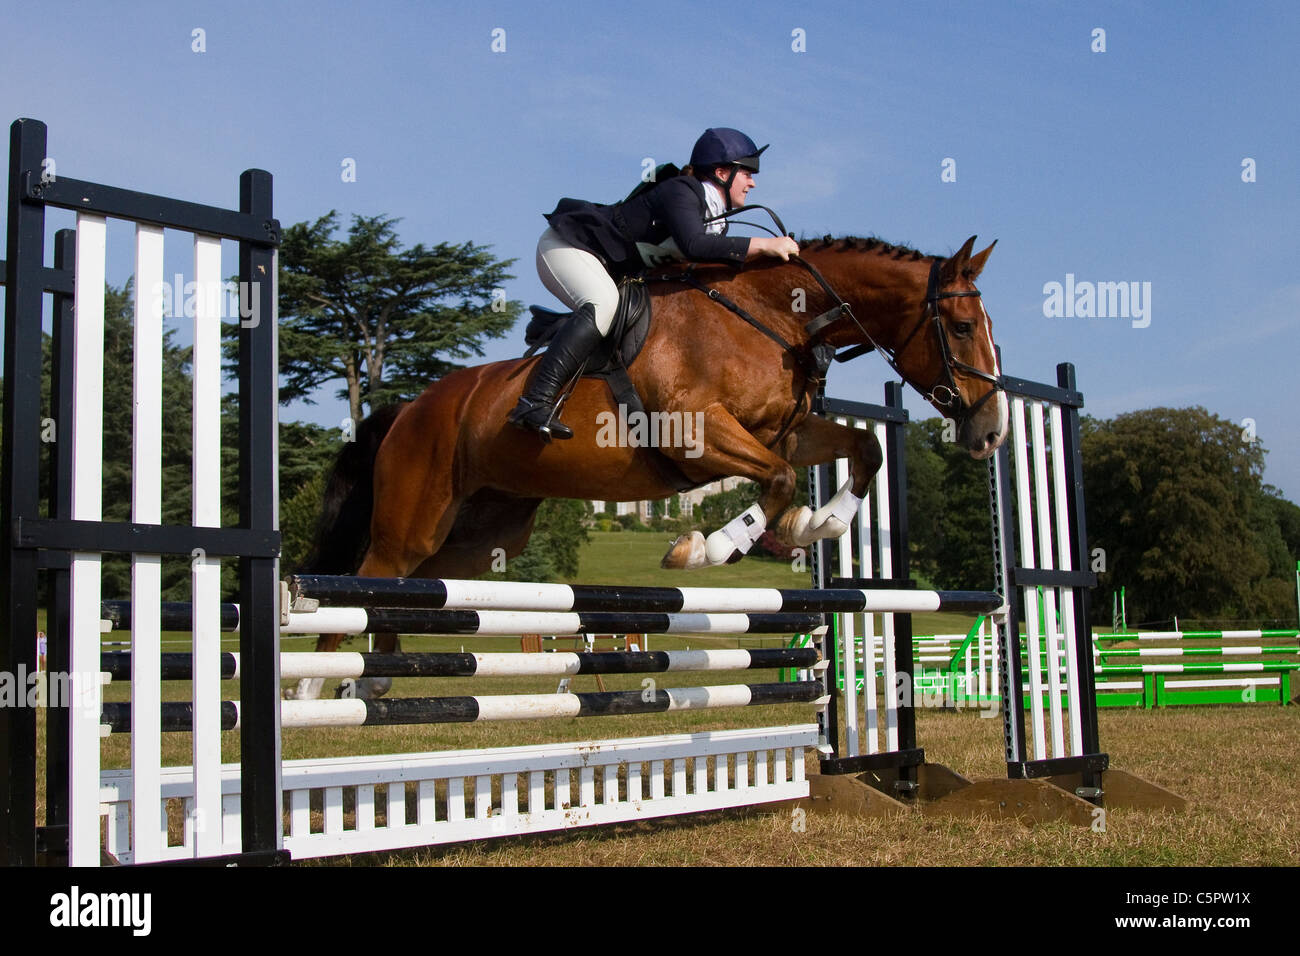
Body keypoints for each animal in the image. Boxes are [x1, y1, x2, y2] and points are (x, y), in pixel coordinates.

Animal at [287, 234, 1008, 700]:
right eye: (963, 327)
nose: (993, 431)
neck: (772, 315)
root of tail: (408, 407)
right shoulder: (696, 432)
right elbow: (776, 479)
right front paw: (709, 547)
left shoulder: (786, 431)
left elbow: (863, 451)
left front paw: (816, 525)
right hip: (412, 521)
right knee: (360, 584)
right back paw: (314, 692)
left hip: (479, 538)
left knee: (402, 591)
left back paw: (378, 676)